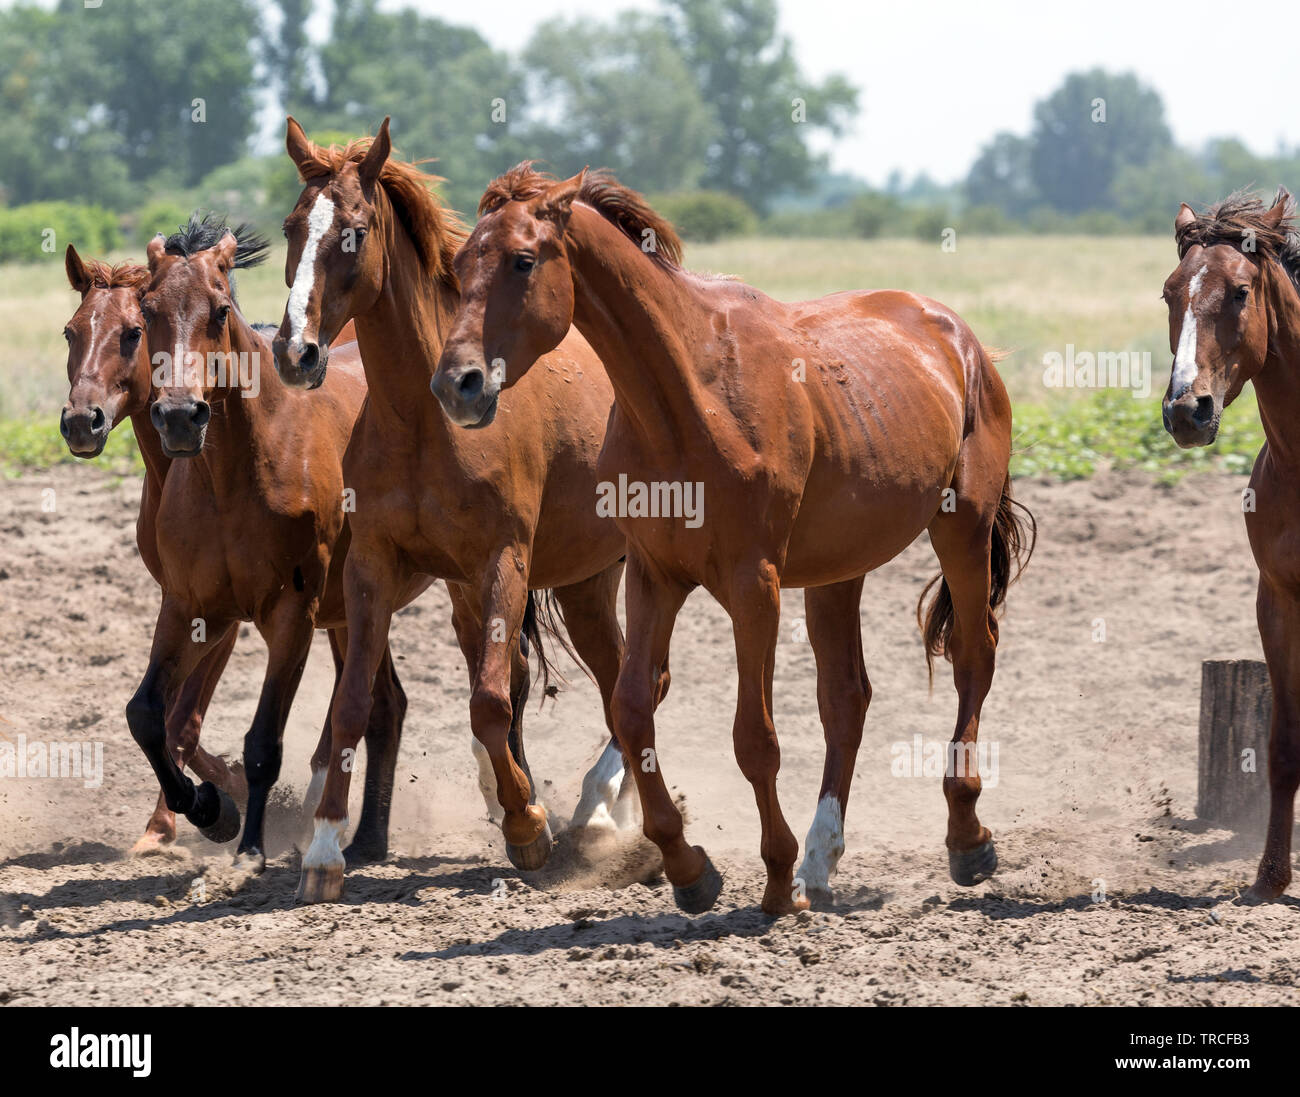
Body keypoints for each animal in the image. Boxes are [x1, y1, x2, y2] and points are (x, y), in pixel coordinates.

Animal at [59, 246, 244, 850]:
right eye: (70, 332)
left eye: (133, 332)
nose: (81, 421)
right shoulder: (181, 602)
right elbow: (161, 714)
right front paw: (223, 784)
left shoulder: (224, 613)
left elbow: (182, 717)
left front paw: (172, 820)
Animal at [128, 214, 414, 870]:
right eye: (147, 312)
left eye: (218, 310)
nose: (179, 417)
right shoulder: (189, 607)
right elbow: (149, 717)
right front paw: (211, 810)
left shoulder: (291, 615)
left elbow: (262, 742)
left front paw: (250, 849)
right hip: (359, 610)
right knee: (386, 705)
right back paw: (368, 839)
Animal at [270, 118, 646, 903]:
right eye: (292, 225)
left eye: (354, 232)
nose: (296, 351)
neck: (423, 420)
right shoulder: (374, 568)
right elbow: (355, 704)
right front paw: (324, 849)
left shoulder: (503, 559)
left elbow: (489, 701)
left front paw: (529, 828)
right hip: (578, 584)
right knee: (604, 675)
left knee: (626, 680)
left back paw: (598, 813)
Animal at [432, 166, 1035, 916]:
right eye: (459, 266)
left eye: (521, 260)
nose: (457, 384)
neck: (690, 397)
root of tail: (961, 338)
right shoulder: (654, 576)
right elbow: (633, 712)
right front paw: (689, 866)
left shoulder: (755, 586)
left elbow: (755, 736)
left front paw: (772, 876)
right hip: (838, 571)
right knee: (847, 699)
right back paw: (819, 862)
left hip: (963, 528)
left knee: (972, 659)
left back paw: (964, 838)